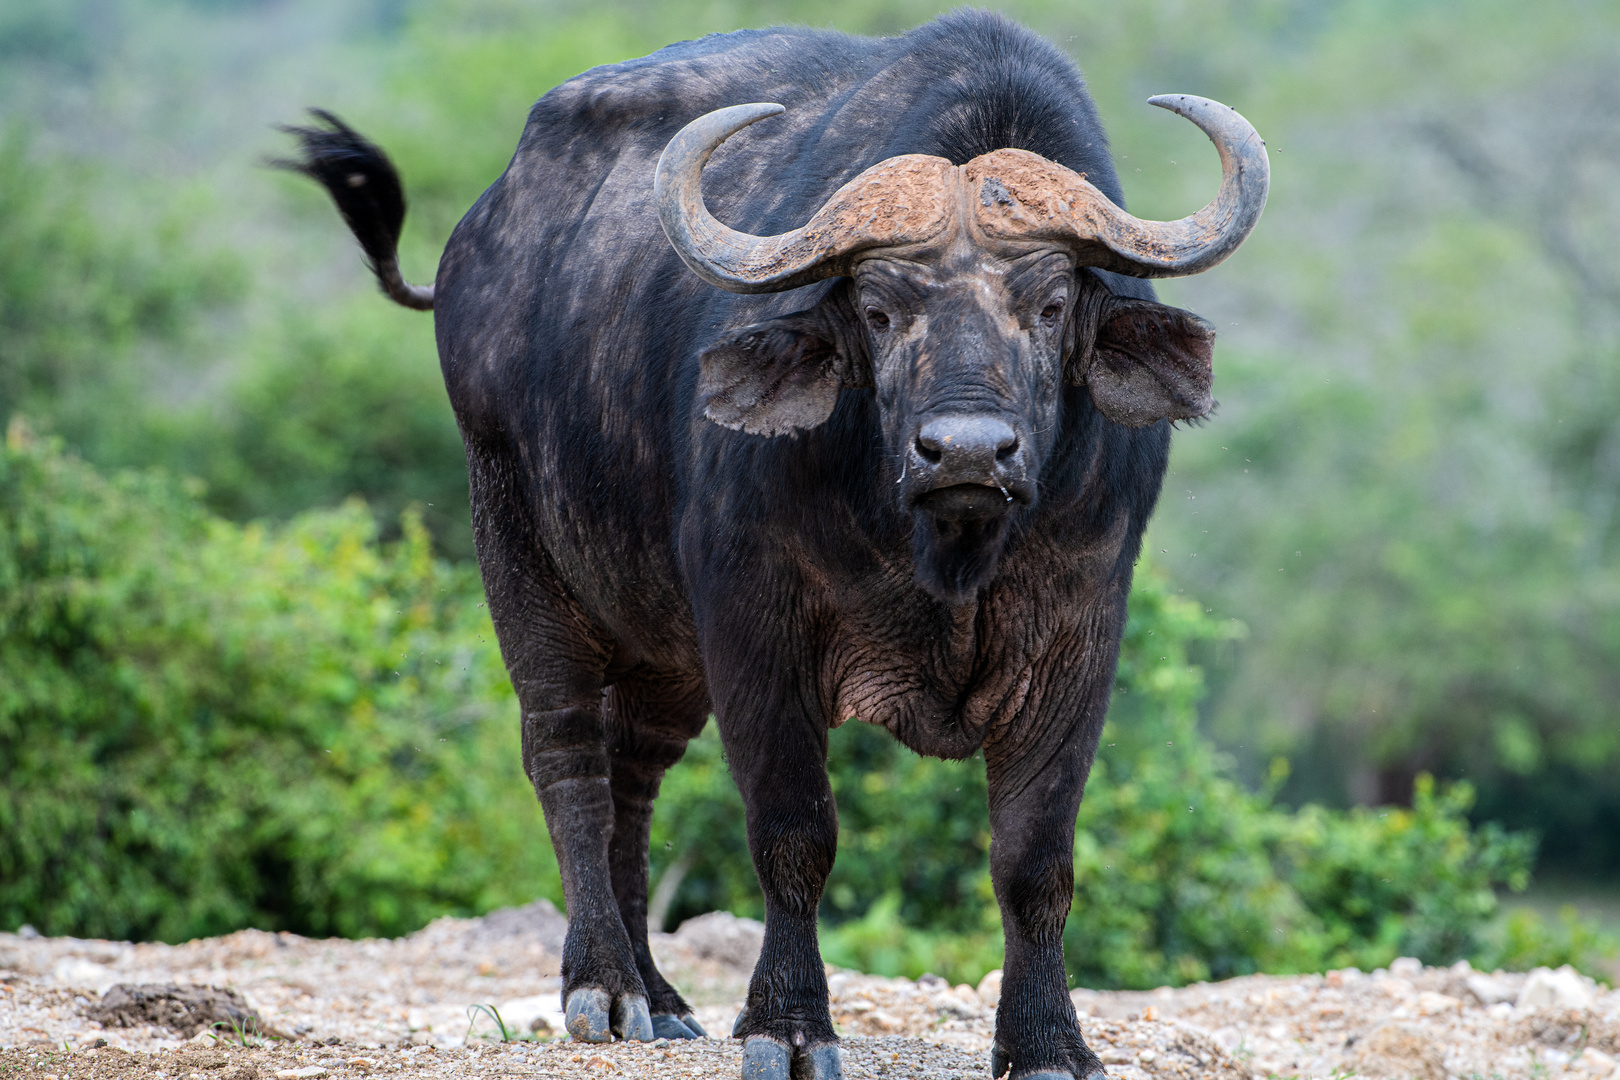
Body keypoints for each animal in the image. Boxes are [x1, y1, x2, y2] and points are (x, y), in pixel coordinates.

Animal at [282, 11, 1267, 1080]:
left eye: (1049, 307)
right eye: (877, 310)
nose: (967, 450)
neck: (944, 544)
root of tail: (474, 245)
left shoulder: (1080, 630)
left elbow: (1034, 856)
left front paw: (1048, 1042)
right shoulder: (756, 619)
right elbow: (795, 832)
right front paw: (789, 1024)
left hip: (664, 642)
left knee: (635, 771)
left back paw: (663, 997)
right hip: (511, 532)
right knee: (566, 751)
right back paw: (606, 986)